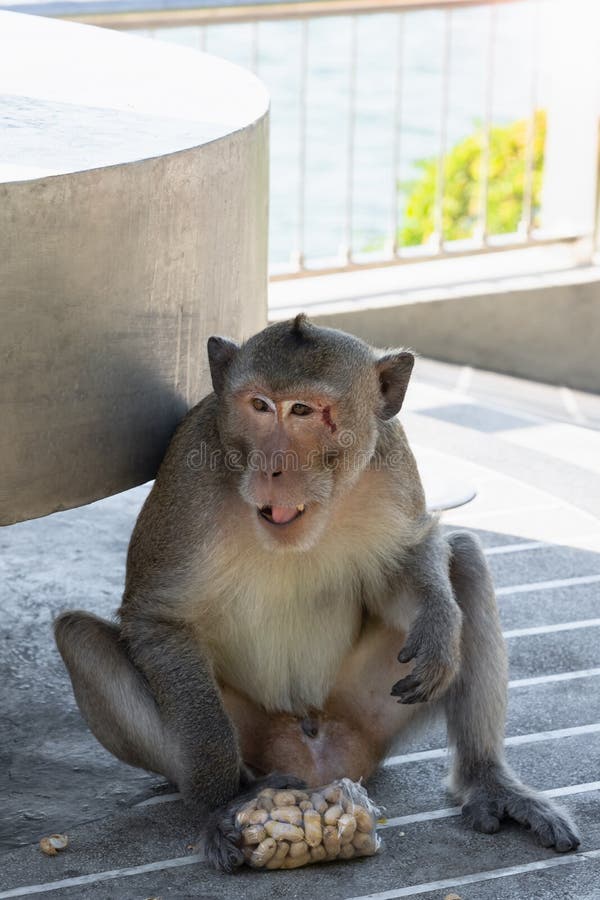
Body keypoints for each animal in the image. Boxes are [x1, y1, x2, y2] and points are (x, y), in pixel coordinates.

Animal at [55, 314, 580, 872]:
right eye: (260, 406)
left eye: (304, 411)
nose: (273, 467)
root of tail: (317, 759)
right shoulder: (187, 482)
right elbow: (158, 619)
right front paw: (220, 805)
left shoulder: (391, 457)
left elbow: (403, 561)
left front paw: (438, 622)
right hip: (255, 729)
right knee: (81, 639)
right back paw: (242, 791)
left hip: (364, 712)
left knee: (468, 562)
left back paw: (489, 782)